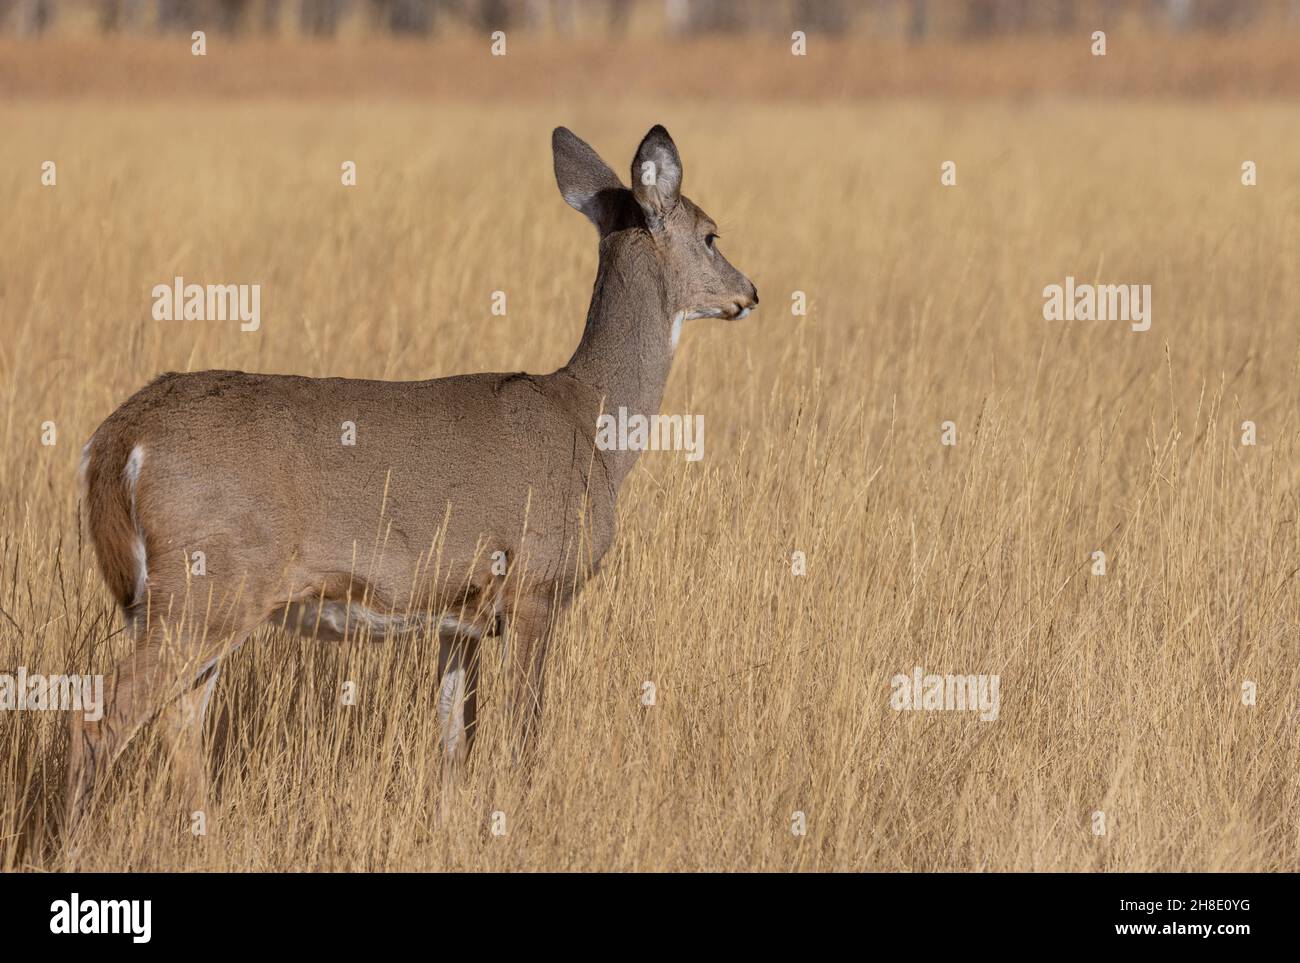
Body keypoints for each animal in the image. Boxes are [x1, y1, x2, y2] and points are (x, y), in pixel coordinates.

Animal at [66, 124, 758, 832]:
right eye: (711, 235)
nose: (749, 293)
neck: (591, 424)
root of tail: (119, 438)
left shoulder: (461, 618)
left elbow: (455, 745)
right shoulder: (536, 587)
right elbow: (523, 741)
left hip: (190, 599)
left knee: (178, 719)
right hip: (208, 581)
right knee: (101, 718)